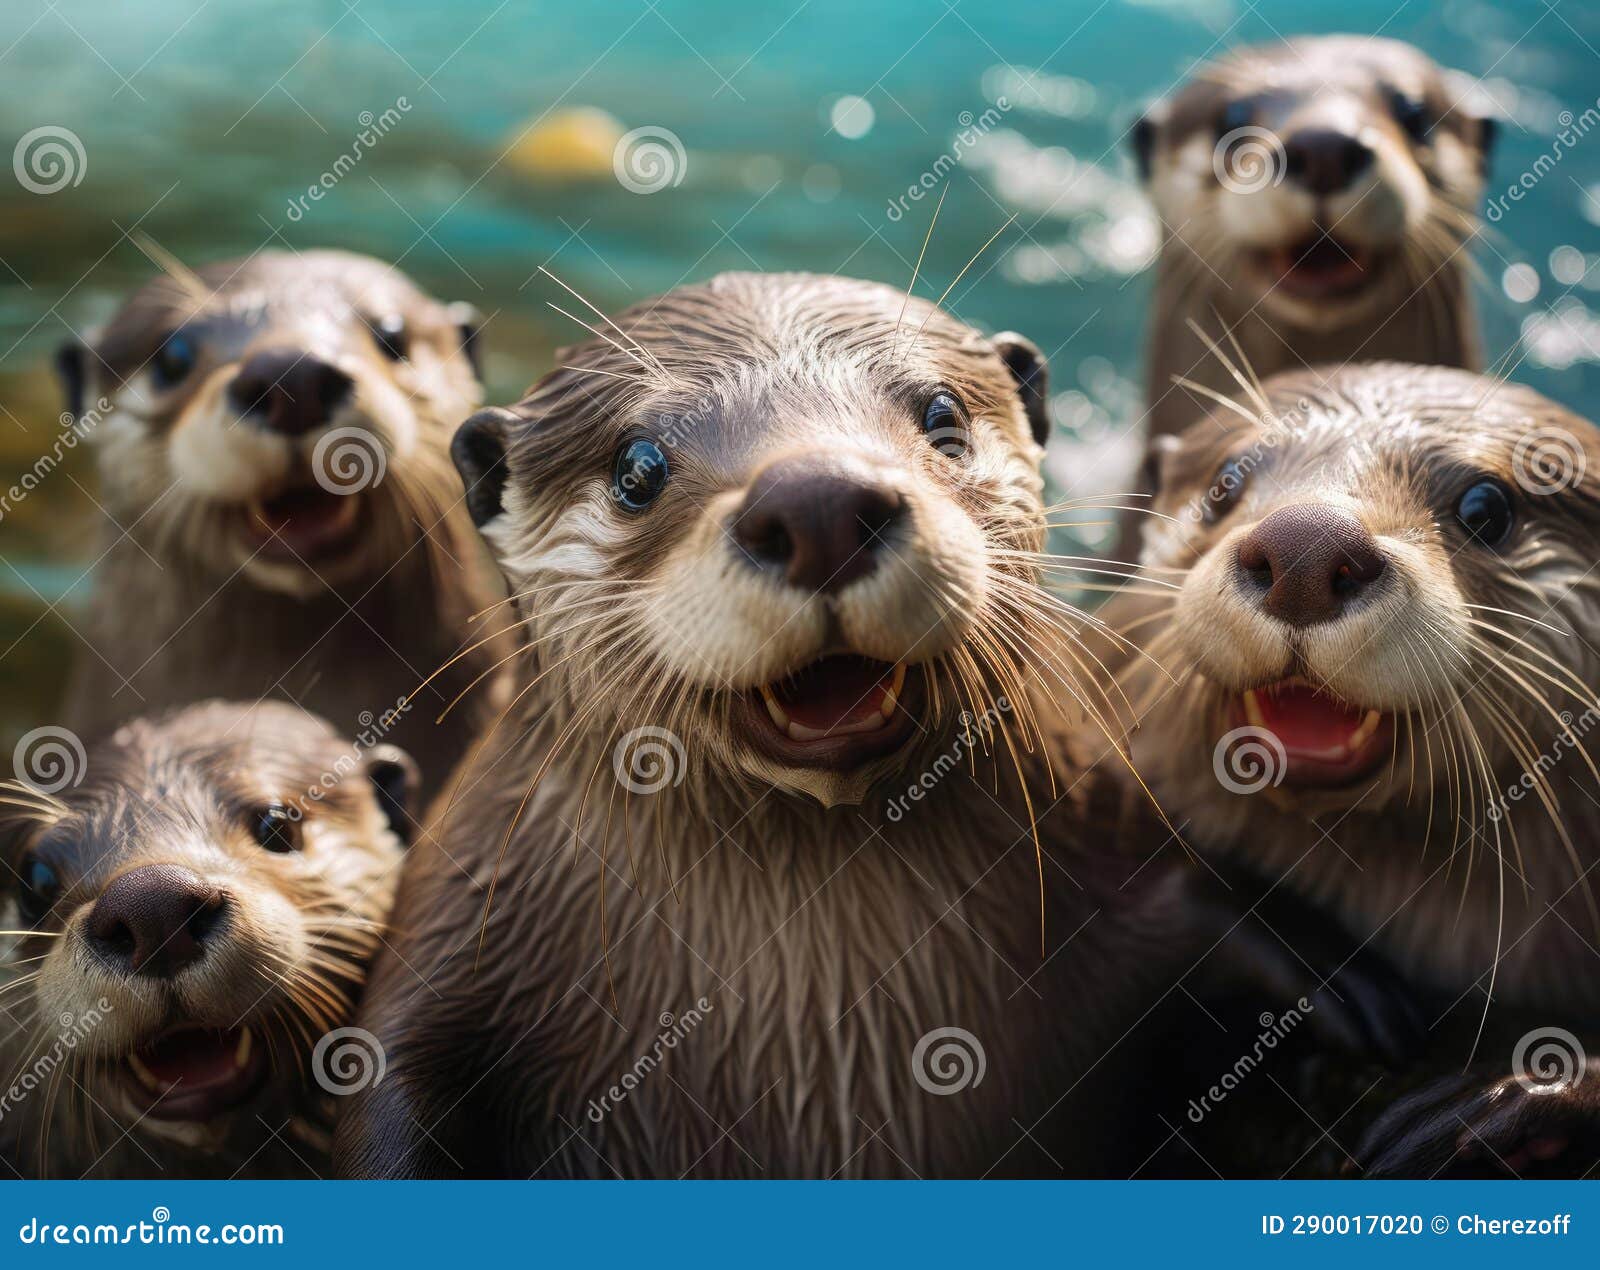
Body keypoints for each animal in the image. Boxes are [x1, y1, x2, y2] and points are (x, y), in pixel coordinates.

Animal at [332, 272, 1393, 1179]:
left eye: (942, 416)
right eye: (637, 466)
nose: (820, 502)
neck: (813, 1007)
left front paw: (1347, 1000)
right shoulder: (454, 947)